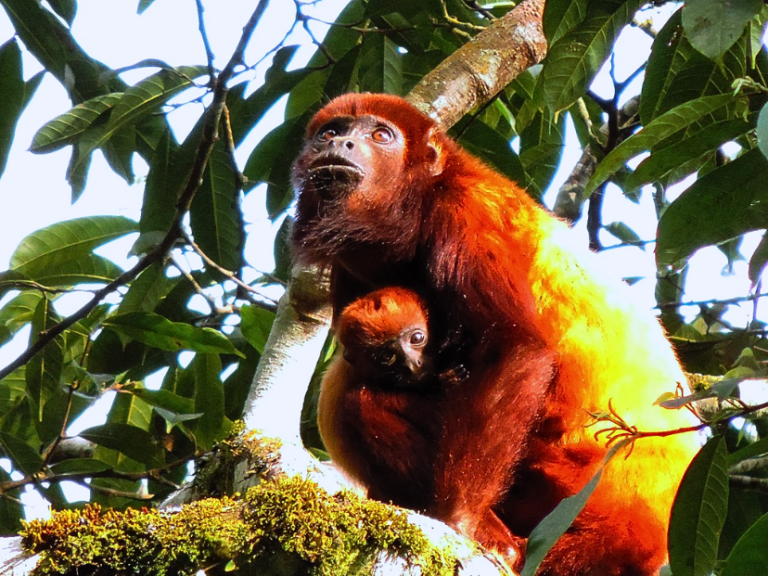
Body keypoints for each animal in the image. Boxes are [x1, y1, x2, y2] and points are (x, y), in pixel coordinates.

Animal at [292, 93, 701, 575]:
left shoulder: (468, 216)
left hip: (563, 486)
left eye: (380, 135)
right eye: (331, 132)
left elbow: (514, 348)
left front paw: (463, 521)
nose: (342, 144)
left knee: (352, 395)